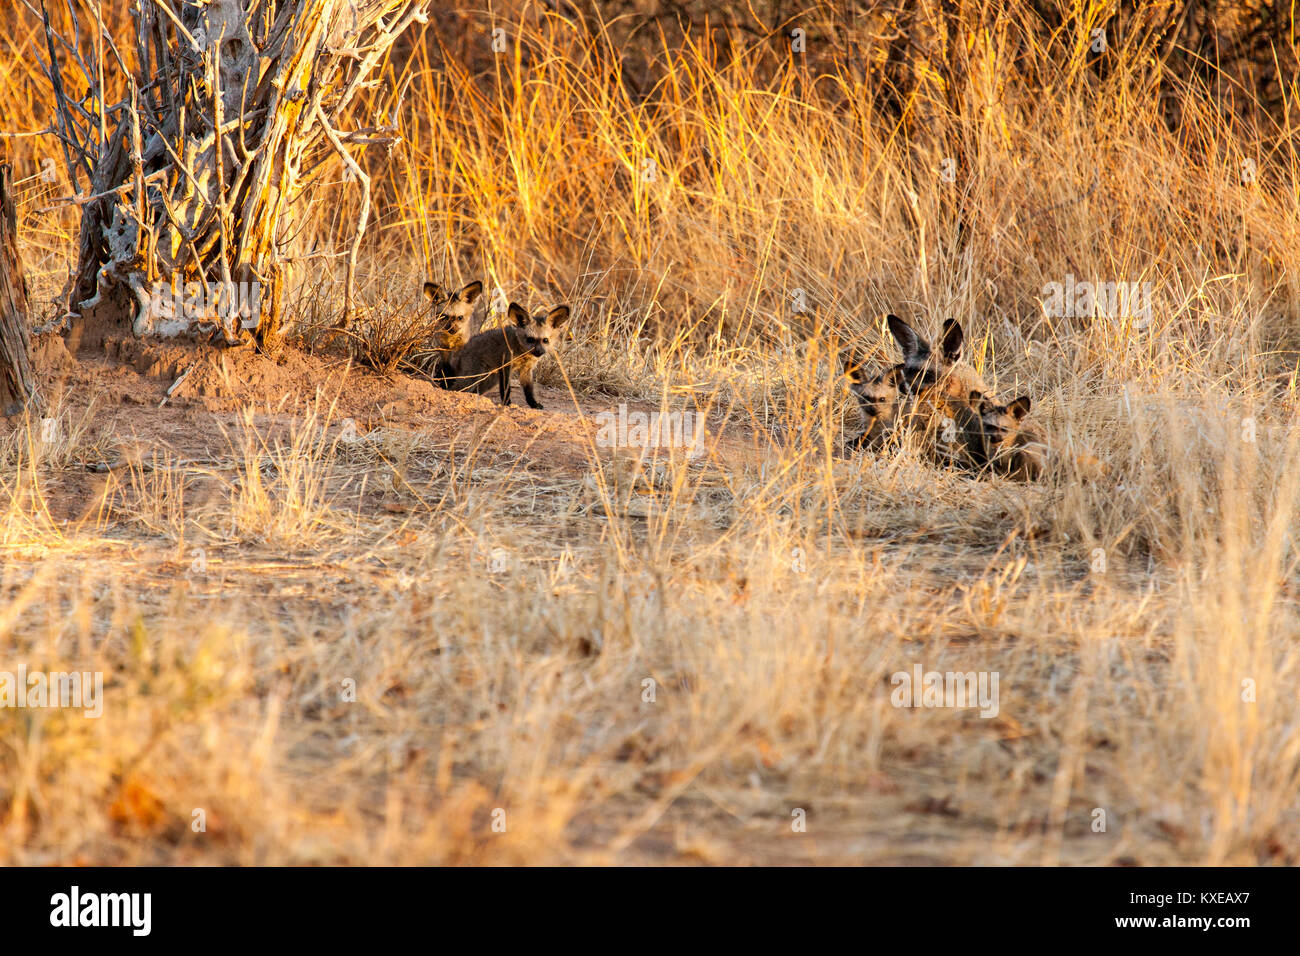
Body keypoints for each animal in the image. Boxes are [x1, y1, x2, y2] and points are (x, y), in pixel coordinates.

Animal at [436, 301, 570, 409]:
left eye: (545, 340)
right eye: (530, 339)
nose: (539, 352)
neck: (522, 354)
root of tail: (460, 351)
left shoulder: (526, 370)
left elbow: (529, 390)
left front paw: (533, 404)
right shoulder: (505, 366)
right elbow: (505, 389)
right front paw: (507, 404)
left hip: (489, 380)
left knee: (473, 391)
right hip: (472, 378)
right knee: (455, 389)